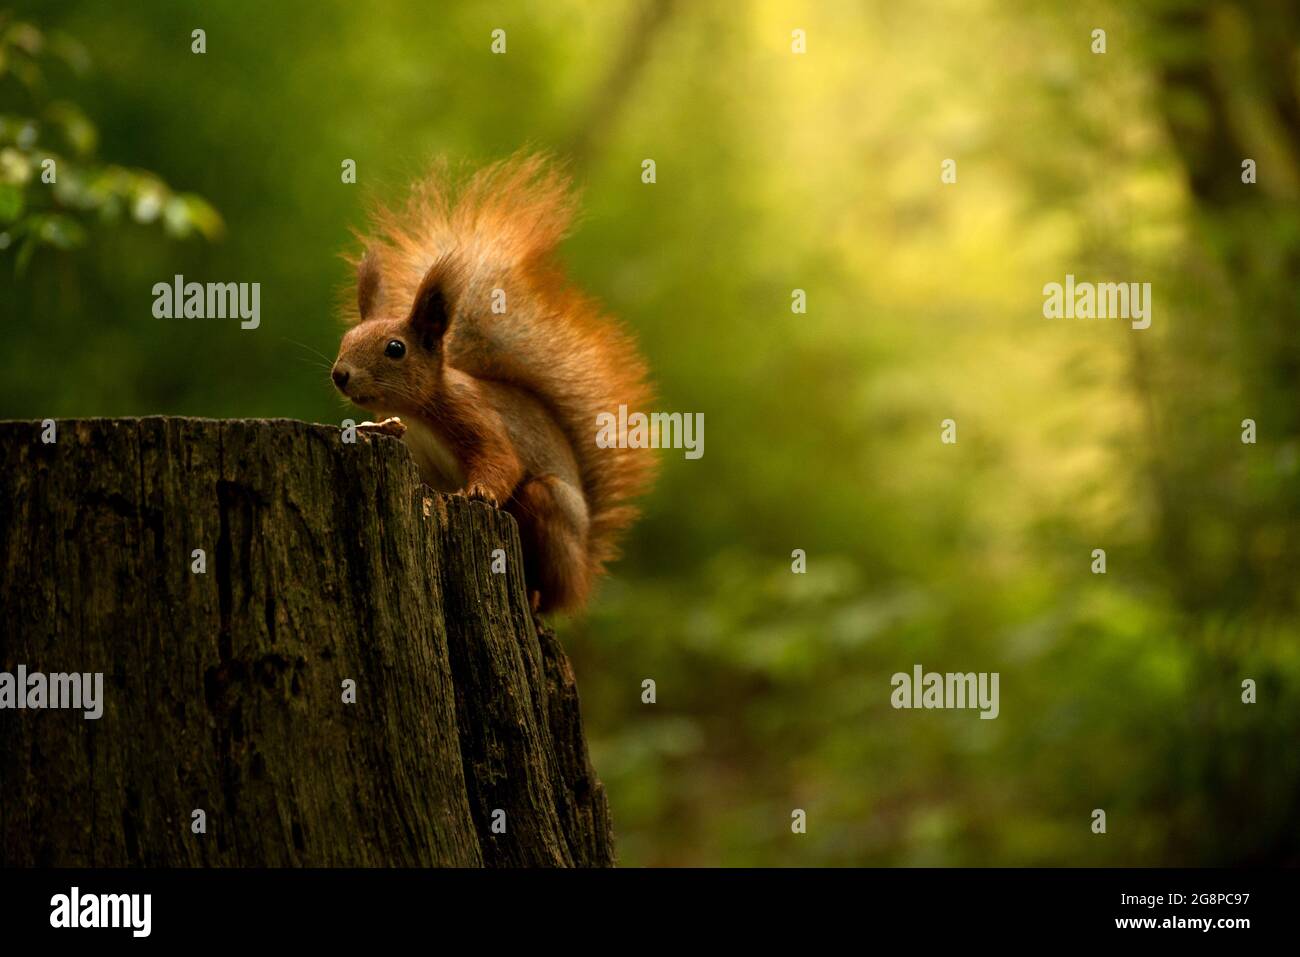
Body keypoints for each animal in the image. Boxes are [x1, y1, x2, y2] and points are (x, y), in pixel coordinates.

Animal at [330, 153, 656, 614]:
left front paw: (479, 493)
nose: (340, 374)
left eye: (395, 348)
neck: (421, 411)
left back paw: (537, 598)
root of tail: (581, 578)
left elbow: (503, 460)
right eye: (346, 340)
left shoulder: (475, 416)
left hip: (548, 508)